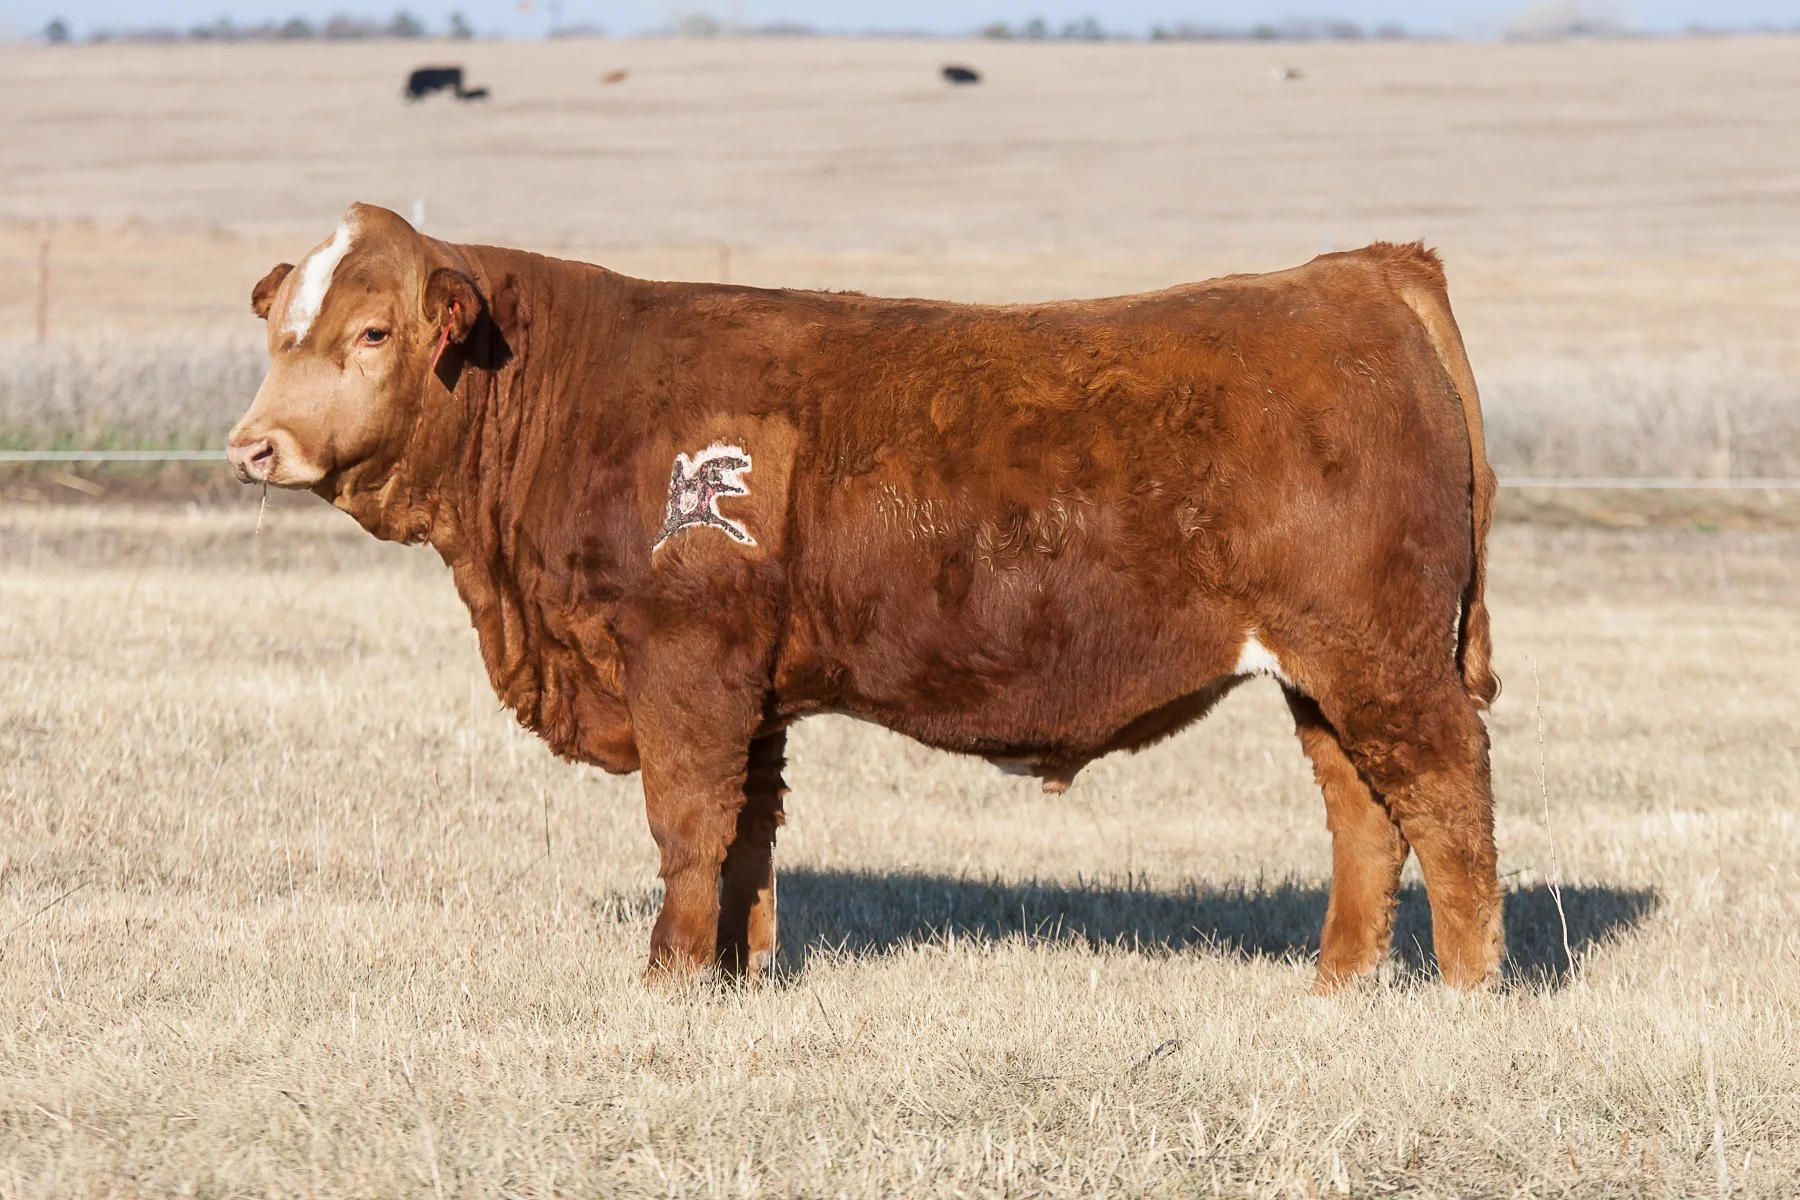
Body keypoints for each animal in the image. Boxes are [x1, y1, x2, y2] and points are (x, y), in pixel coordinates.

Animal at [228, 203, 1503, 991]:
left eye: (372, 330)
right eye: (281, 330)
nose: (253, 446)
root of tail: (1355, 272)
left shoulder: (685, 662)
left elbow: (687, 824)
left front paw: (668, 977)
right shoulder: (750, 690)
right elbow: (746, 834)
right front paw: (735, 973)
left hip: (1383, 658)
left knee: (1449, 797)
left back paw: (1465, 989)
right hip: (1323, 675)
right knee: (1364, 815)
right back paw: (1338, 986)